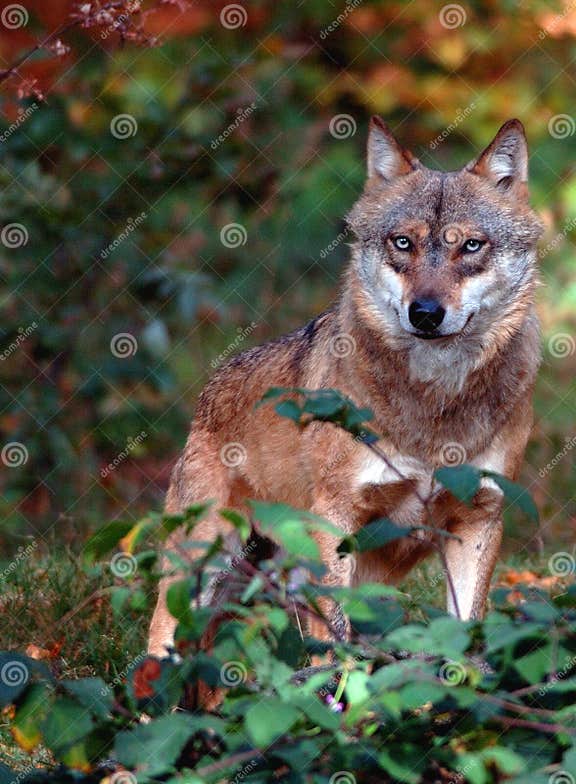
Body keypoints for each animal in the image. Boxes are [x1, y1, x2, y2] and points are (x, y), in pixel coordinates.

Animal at [148, 117, 543, 657]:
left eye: (471, 246)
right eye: (403, 243)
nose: (425, 313)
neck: (433, 404)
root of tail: (212, 386)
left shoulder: (480, 517)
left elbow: (464, 636)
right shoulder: (335, 516)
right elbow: (332, 641)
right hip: (202, 567)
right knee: (159, 638)